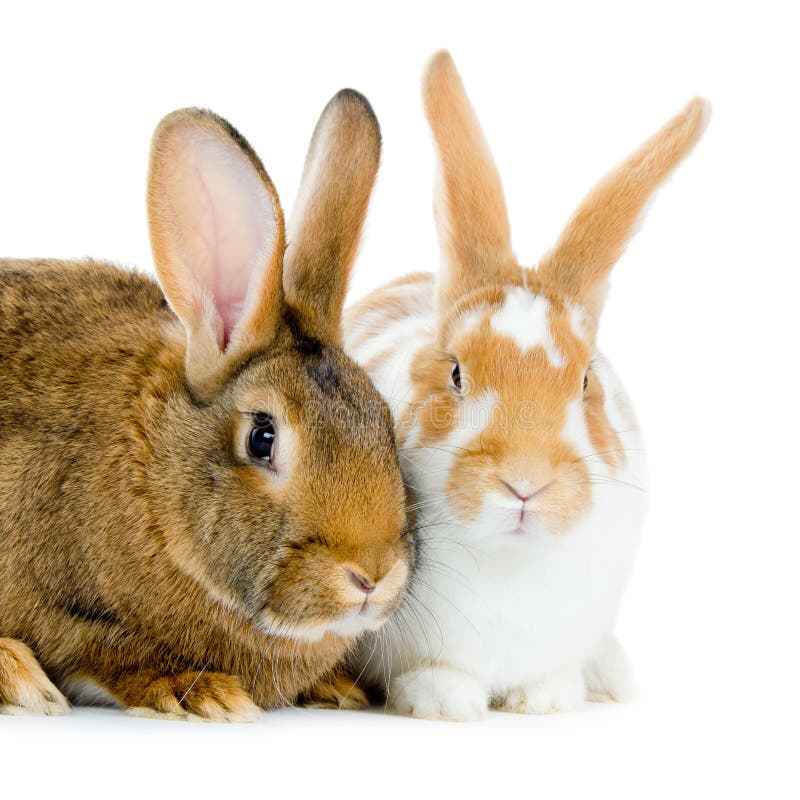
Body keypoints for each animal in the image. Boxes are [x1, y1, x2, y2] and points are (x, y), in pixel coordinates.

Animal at [0, 89, 415, 721]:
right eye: (262, 437)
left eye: (385, 423)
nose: (372, 575)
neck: (153, 469)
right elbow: (105, 647)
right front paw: (203, 694)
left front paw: (336, 687)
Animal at [345, 51, 710, 721]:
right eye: (456, 372)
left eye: (587, 379)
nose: (525, 482)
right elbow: (435, 676)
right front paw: (446, 703)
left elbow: (548, 677)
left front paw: (546, 700)